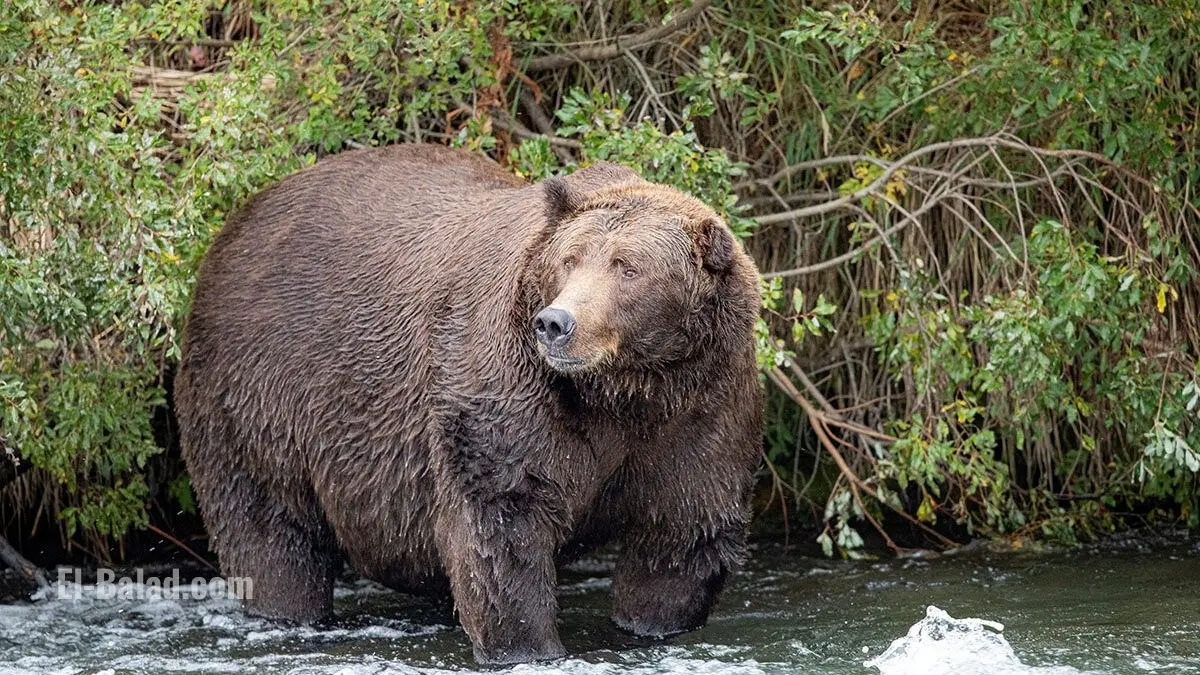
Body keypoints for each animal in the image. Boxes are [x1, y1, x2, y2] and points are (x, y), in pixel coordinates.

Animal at [174, 144, 763, 665]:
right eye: (569, 259)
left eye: (628, 267)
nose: (556, 323)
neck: (624, 392)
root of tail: (233, 226)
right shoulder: (510, 391)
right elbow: (502, 523)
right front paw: (528, 647)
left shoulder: (702, 410)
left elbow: (683, 532)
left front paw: (649, 623)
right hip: (260, 393)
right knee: (270, 527)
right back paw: (286, 609)